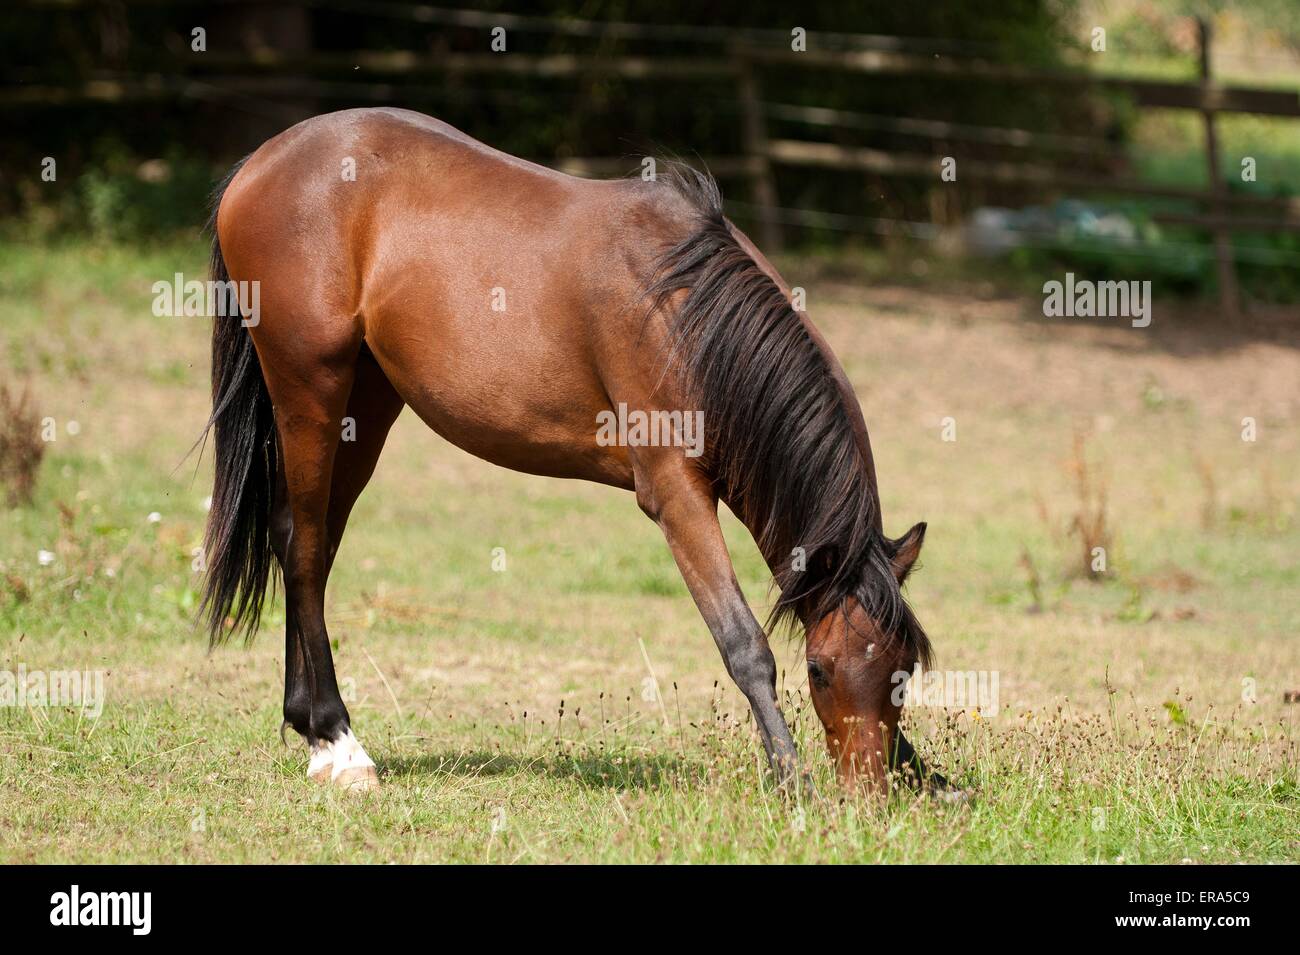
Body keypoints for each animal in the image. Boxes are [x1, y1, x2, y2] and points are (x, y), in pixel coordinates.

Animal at [200, 107, 951, 795]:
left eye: (904, 671)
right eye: (819, 670)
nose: (870, 793)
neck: (686, 313)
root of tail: (262, 161)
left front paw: (927, 773)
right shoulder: (676, 493)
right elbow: (743, 643)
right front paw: (792, 780)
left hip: (367, 403)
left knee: (315, 545)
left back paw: (311, 727)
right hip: (310, 387)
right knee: (299, 545)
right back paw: (337, 739)